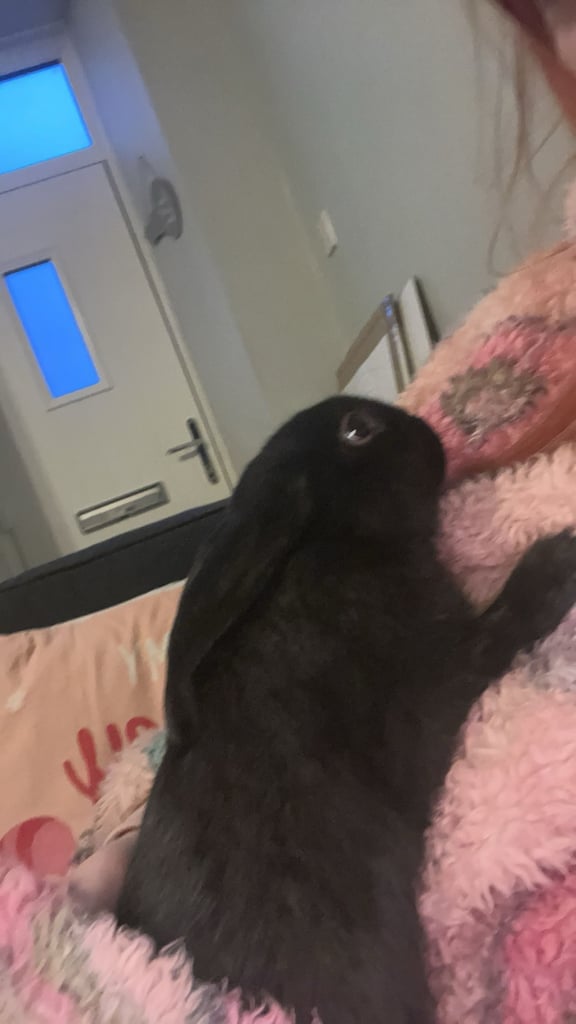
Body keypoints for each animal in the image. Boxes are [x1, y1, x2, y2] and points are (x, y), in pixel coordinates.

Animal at [117, 396, 576, 1024]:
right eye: (357, 430)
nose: (429, 434)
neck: (332, 547)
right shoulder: (438, 681)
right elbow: (499, 628)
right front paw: (558, 557)